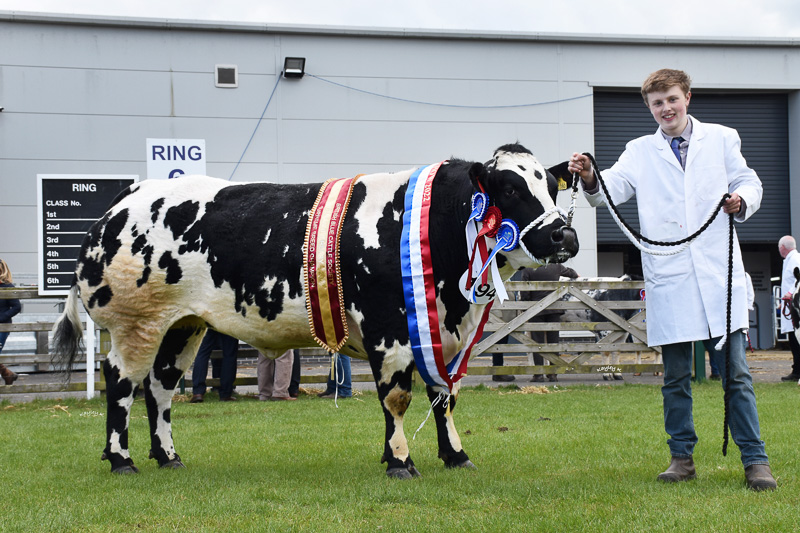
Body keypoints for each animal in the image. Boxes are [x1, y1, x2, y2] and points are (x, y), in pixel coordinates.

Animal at [51, 143, 579, 477]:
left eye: (553, 188)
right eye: (510, 190)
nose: (564, 234)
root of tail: (128, 196)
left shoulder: (444, 335)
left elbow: (443, 397)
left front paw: (455, 456)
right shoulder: (389, 332)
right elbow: (397, 399)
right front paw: (400, 462)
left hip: (184, 325)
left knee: (160, 387)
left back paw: (168, 457)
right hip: (135, 324)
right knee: (121, 383)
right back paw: (122, 460)